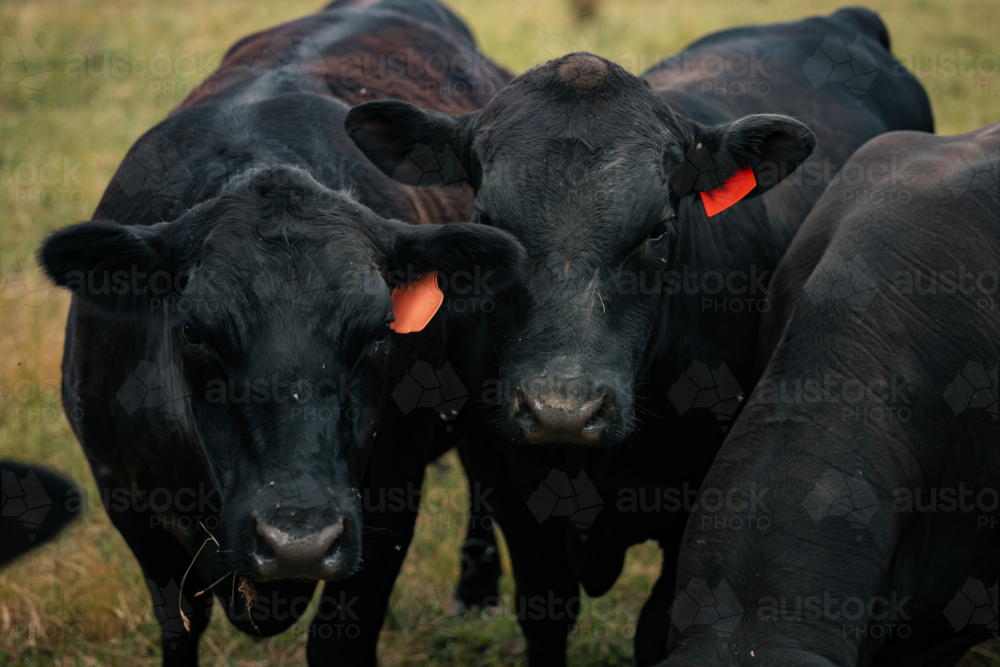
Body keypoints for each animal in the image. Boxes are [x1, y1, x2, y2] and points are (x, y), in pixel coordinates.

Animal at [36, 1, 522, 664]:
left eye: (379, 330)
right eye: (194, 331)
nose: (298, 540)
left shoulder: (391, 500)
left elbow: (339, 638)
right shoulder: (131, 506)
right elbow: (178, 628)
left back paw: (475, 592)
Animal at [346, 8, 936, 665]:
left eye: (658, 229)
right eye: (487, 219)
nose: (563, 411)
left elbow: (656, 628)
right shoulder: (514, 492)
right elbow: (543, 613)